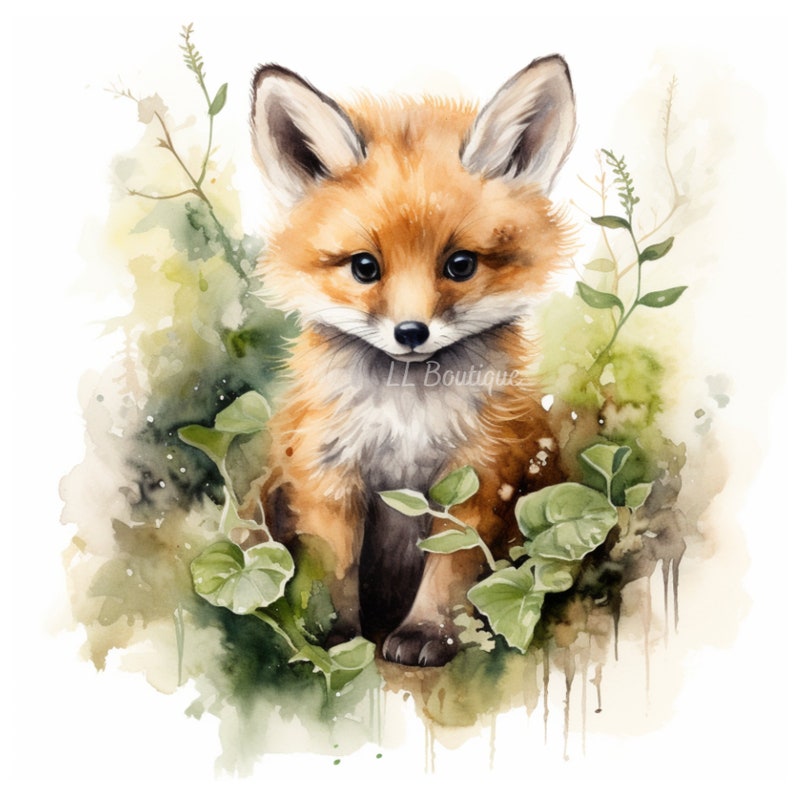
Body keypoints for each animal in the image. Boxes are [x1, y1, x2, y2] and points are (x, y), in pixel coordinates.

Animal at [248, 55, 576, 667]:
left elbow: (450, 570)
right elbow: (334, 570)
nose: (410, 333)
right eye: (364, 267)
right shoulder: (328, 473)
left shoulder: (476, 474)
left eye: (461, 264)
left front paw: (429, 632)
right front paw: (335, 639)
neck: (406, 415)